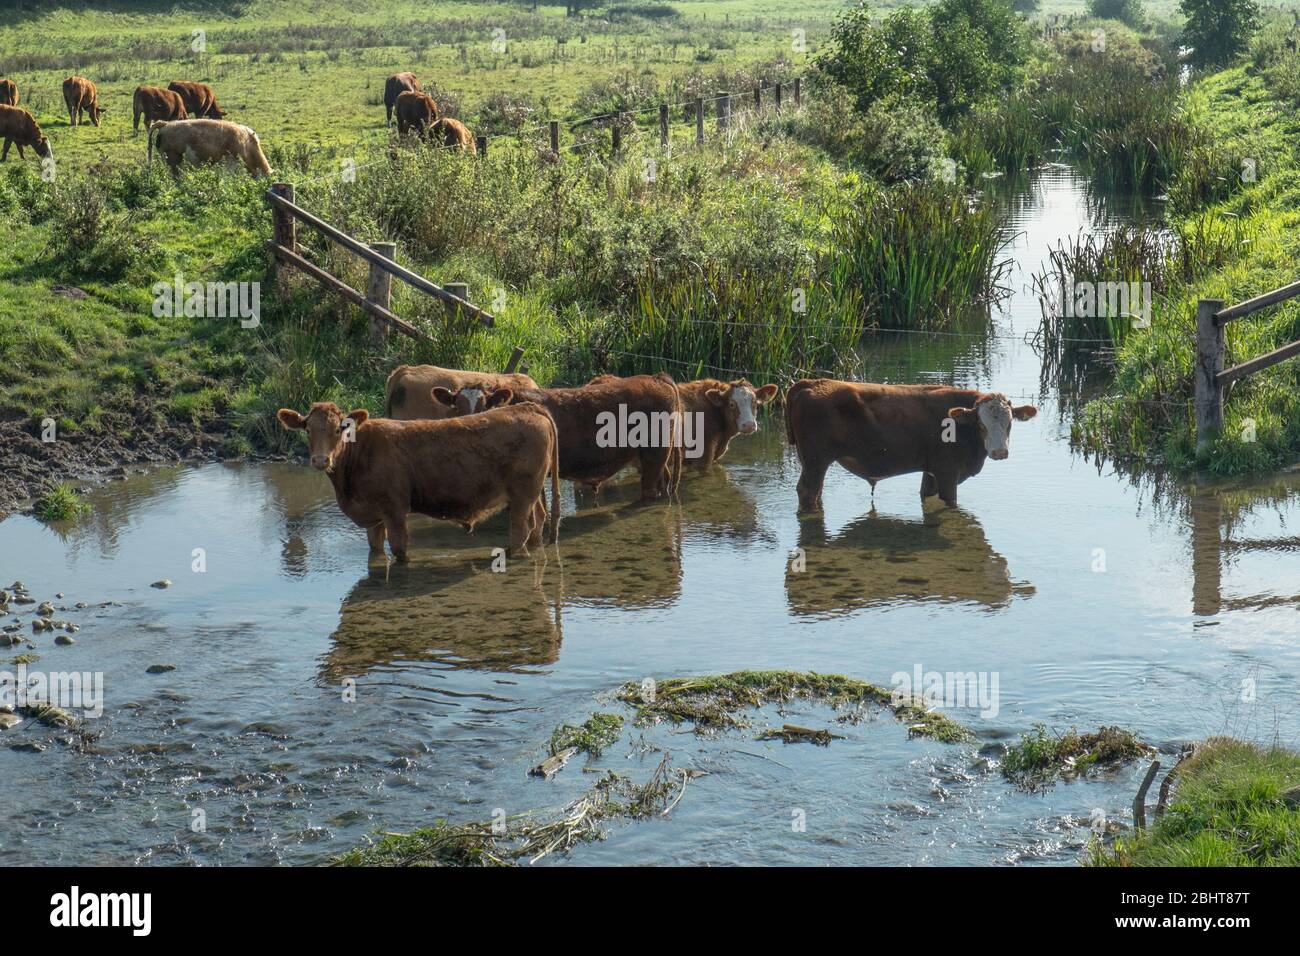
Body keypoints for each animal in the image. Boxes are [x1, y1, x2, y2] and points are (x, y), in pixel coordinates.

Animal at [276, 401, 560, 560]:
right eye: (308, 430)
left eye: (339, 429)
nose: (320, 459)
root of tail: (527, 407)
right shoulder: (373, 518)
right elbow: (376, 552)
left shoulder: (394, 510)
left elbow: (399, 549)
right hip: (531, 493)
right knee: (538, 519)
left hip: (523, 493)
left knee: (520, 529)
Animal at [431, 374, 685, 500]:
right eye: (457, 406)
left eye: (486, 405)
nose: (470, 424)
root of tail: (655, 377)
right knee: (664, 481)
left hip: (655, 453)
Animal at [785, 380, 1037, 513]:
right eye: (981, 424)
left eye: (1010, 423)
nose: (999, 452)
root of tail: (811, 383)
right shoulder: (947, 471)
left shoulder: (931, 470)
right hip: (815, 461)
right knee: (808, 491)